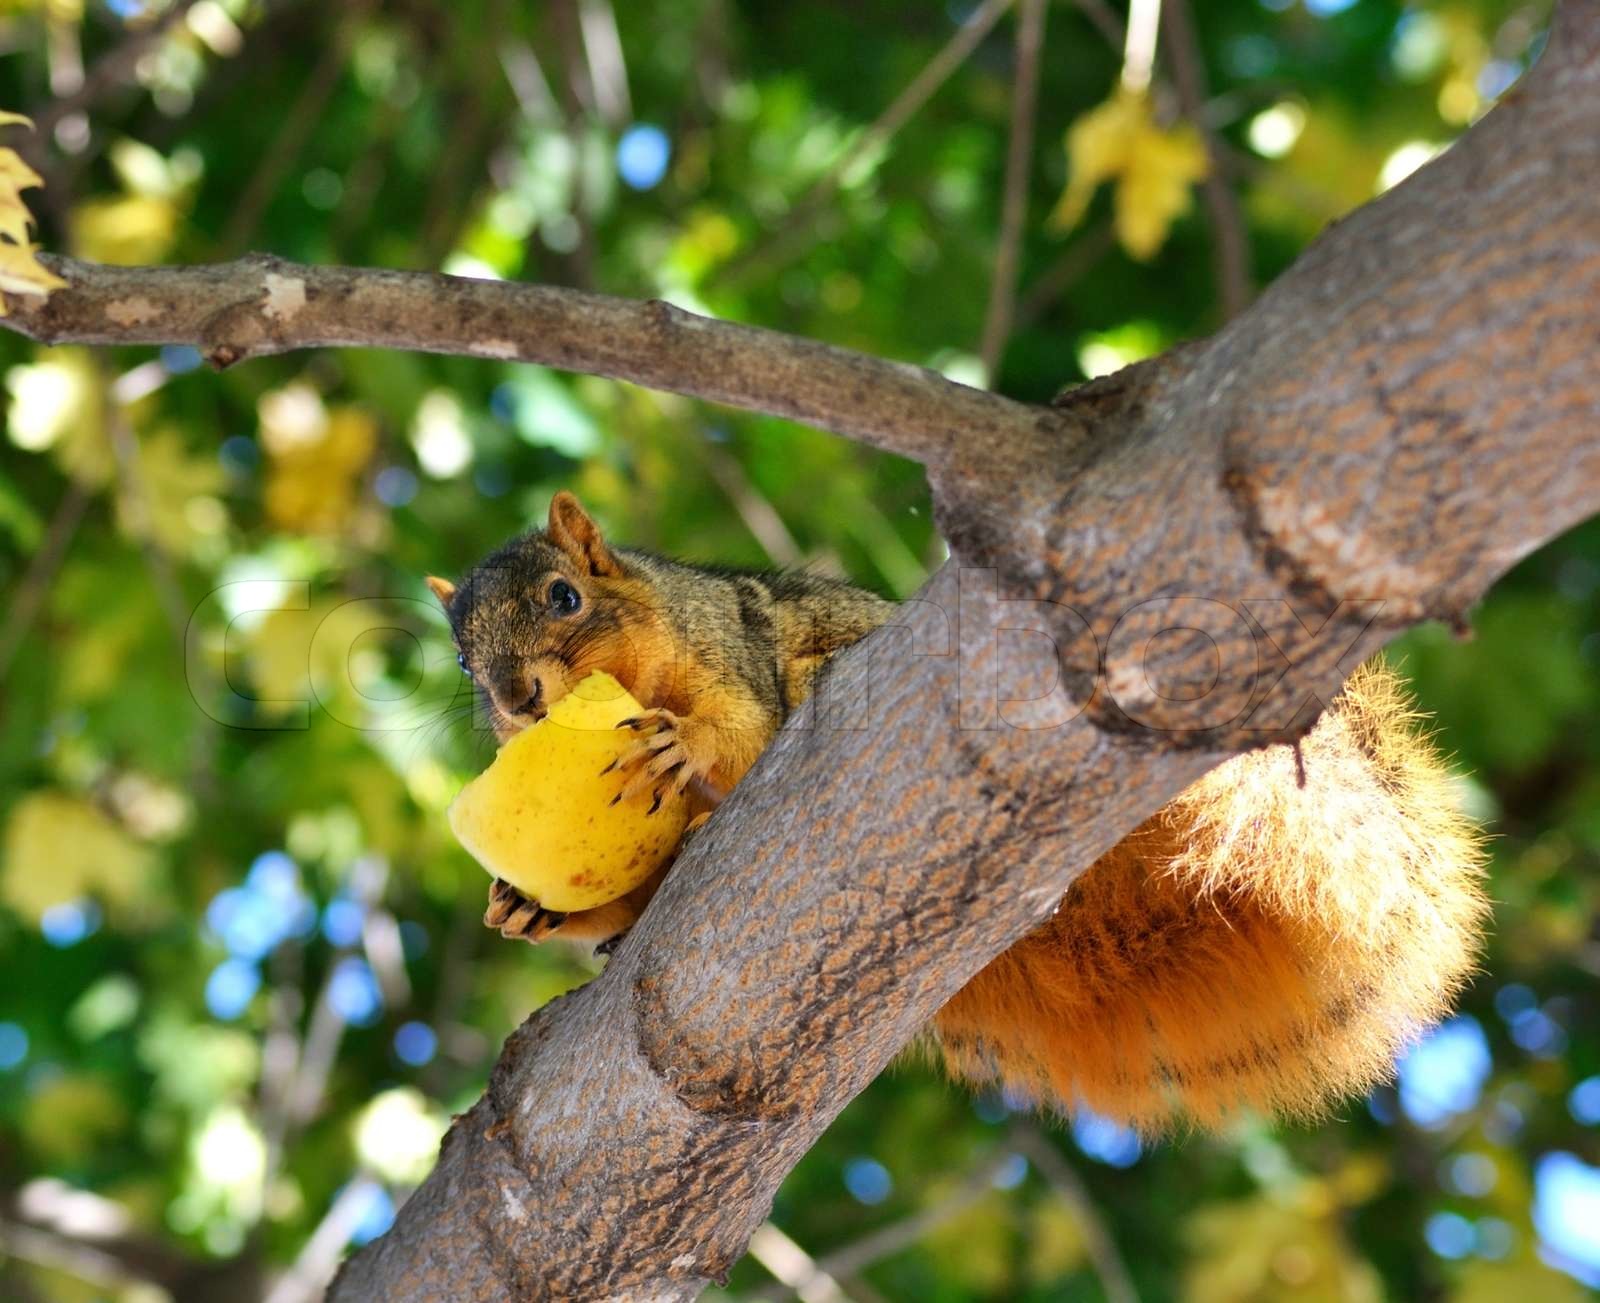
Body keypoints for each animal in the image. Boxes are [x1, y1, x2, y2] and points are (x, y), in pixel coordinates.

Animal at [428, 492, 1487, 1132]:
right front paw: (530, 905)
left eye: (564, 596)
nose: (515, 698)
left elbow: (740, 724)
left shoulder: (729, 650)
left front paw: (680, 745)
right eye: (463, 660)